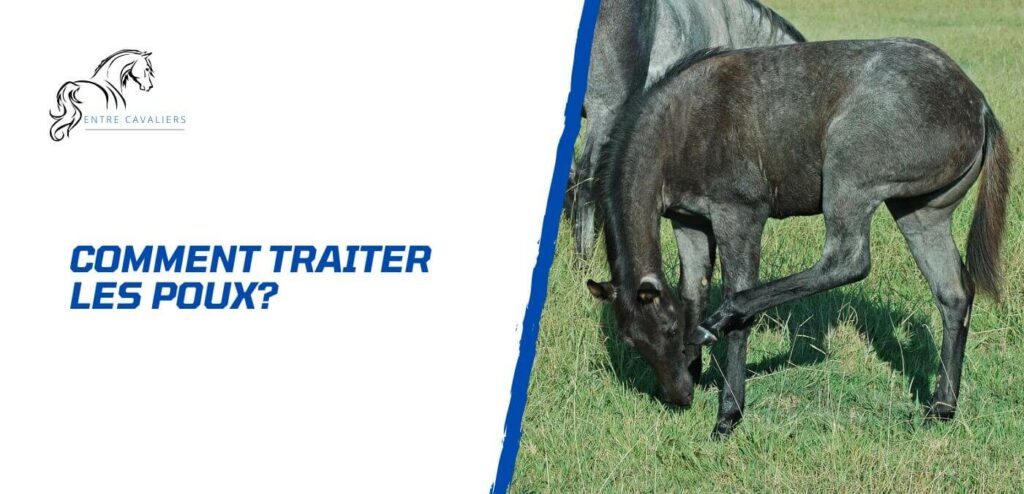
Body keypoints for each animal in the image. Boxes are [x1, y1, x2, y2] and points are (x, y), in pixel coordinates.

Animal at [586, 39, 1011, 438]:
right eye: (631, 342)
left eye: (671, 330)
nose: (680, 397)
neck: (680, 124)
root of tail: (978, 106)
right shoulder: (688, 221)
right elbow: (692, 291)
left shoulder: (739, 214)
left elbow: (737, 298)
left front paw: (728, 414)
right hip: (921, 212)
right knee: (952, 294)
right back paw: (941, 407)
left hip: (849, 175)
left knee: (847, 260)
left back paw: (720, 323)